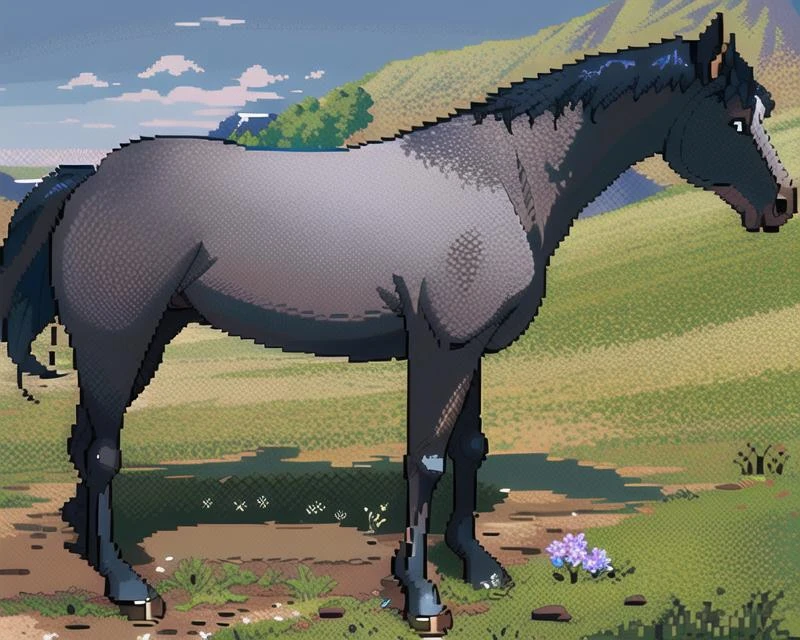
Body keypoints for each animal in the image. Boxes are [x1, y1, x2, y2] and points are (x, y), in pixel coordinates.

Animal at [0, 12, 795, 635]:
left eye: (763, 108)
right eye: (733, 117)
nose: (782, 204)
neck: (505, 178)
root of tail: (90, 177)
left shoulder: (473, 350)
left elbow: (470, 449)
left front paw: (479, 565)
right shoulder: (442, 349)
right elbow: (427, 459)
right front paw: (421, 595)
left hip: (144, 342)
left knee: (84, 445)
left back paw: (90, 550)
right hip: (117, 339)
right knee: (103, 452)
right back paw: (127, 587)